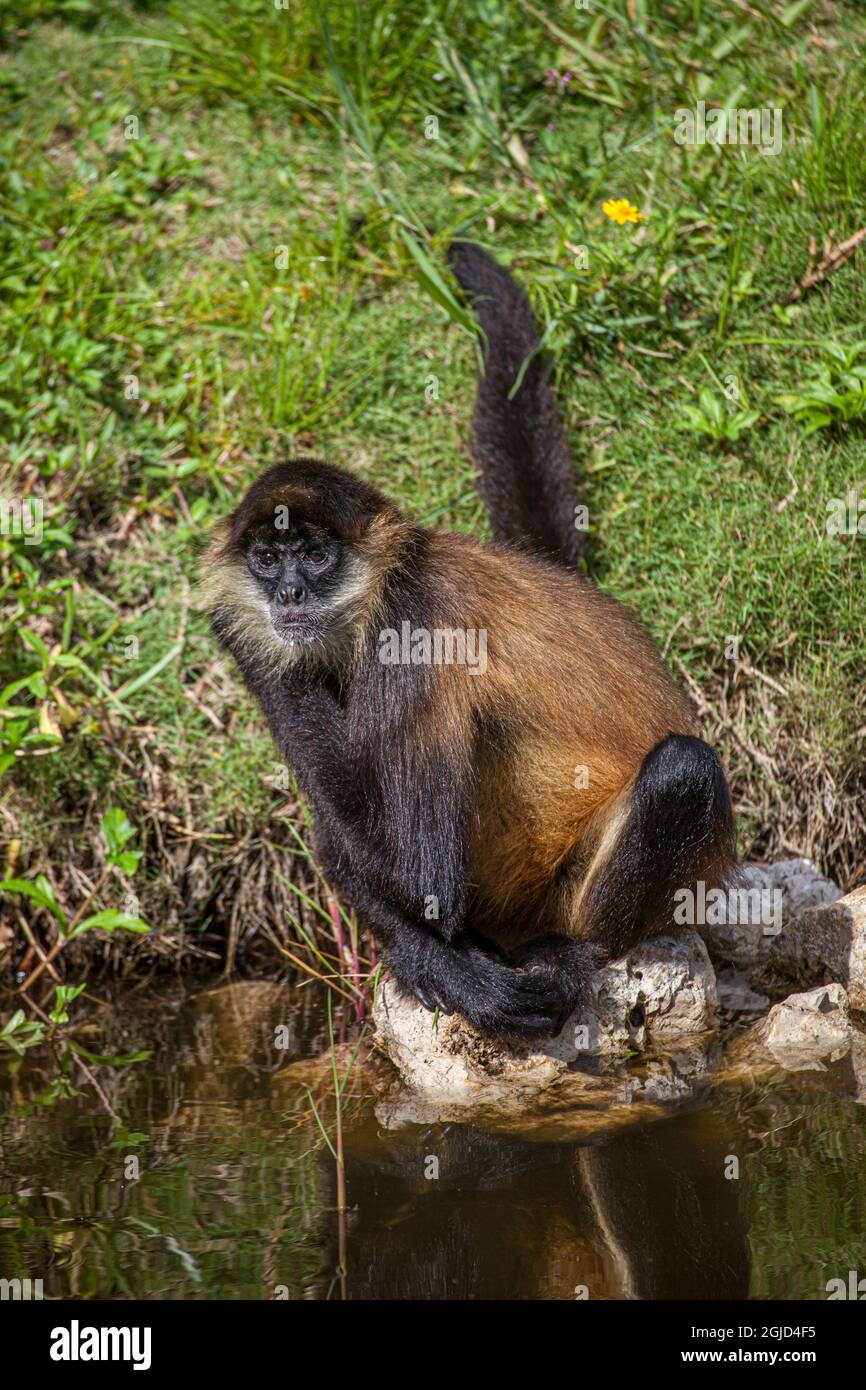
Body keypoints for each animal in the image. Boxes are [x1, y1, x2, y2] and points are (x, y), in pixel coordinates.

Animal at [202, 242, 735, 1040]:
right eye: (267, 558)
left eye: (316, 556)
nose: (287, 595)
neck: (397, 575)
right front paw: (445, 968)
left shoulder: (414, 630)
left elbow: (428, 881)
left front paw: (246, 644)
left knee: (682, 770)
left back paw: (561, 954)